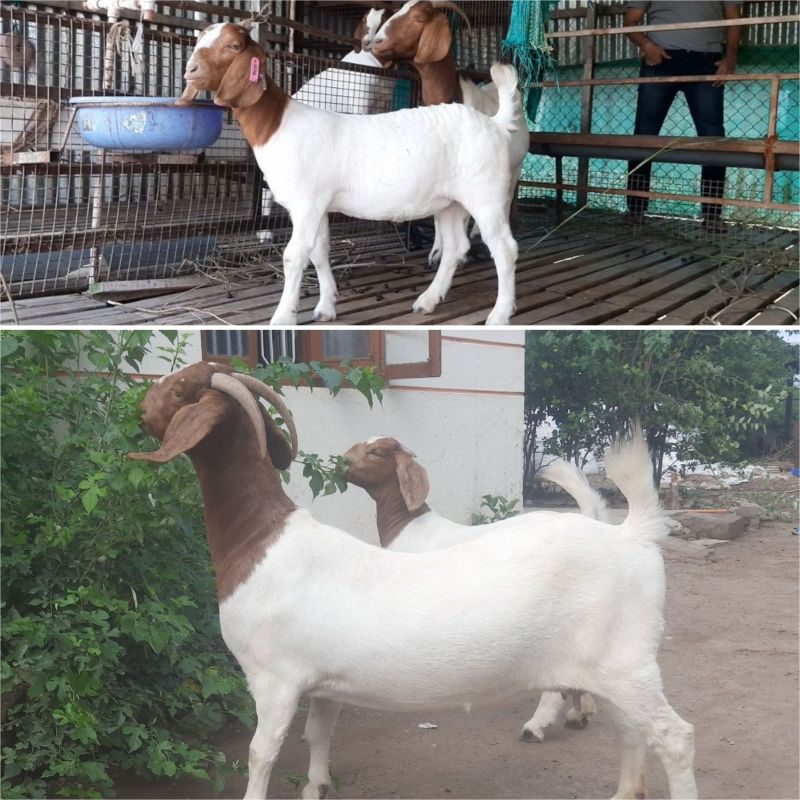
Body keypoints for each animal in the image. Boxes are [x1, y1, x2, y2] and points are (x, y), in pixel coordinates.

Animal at [130, 361, 697, 800]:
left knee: (673, 735)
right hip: (612, 668)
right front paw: (317, 785)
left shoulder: (273, 678)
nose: (141, 404)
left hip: (625, 663)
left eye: (181, 388)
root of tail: (631, 535)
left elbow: (260, 754)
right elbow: (317, 735)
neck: (259, 538)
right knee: (632, 731)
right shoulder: (322, 682)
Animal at [177, 23, 520, 326]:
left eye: (233, 45)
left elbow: (294, 256)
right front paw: (326, 307)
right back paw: (427, 300)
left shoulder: (306, 202)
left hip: (486, 196)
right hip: (451, 202)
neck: (278, 125)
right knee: (455, 248)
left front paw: (282, 318)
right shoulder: (319, 204)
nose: (190, 70)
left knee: (504, 248)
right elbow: (319, 251)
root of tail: (496, 123)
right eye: (200, 40)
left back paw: (499, 315)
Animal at [368, 0, 531, 286]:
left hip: (513, 169)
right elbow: (437, 216)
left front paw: (458, 254)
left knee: (506, 200)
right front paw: (436, 252)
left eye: (419, 18)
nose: (377, 42)